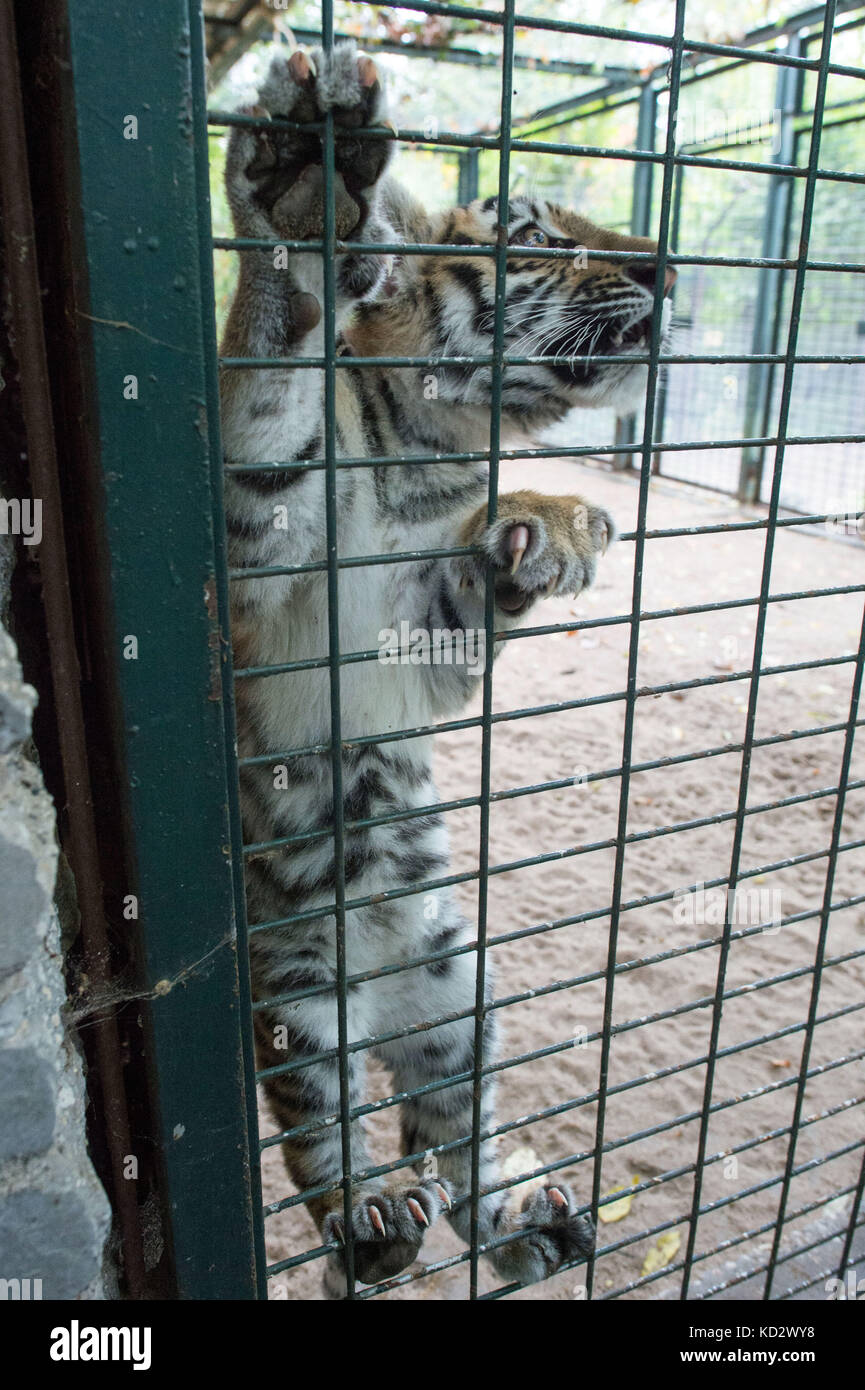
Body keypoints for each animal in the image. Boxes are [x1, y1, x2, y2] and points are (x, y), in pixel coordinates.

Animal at [219, 40, 674, 1297]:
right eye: (537, 233)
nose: (665, 265)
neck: (427, 447)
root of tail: (376, 992)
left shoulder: (425, 628)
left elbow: (478, 574)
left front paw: (553, 524)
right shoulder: (257, 557)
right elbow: (267, 406)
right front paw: (296, 189)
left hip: (454, 990)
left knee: (457, 1145)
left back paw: (528, 1220)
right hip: (299, 1006)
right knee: (333, 1150)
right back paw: (371, 1223)